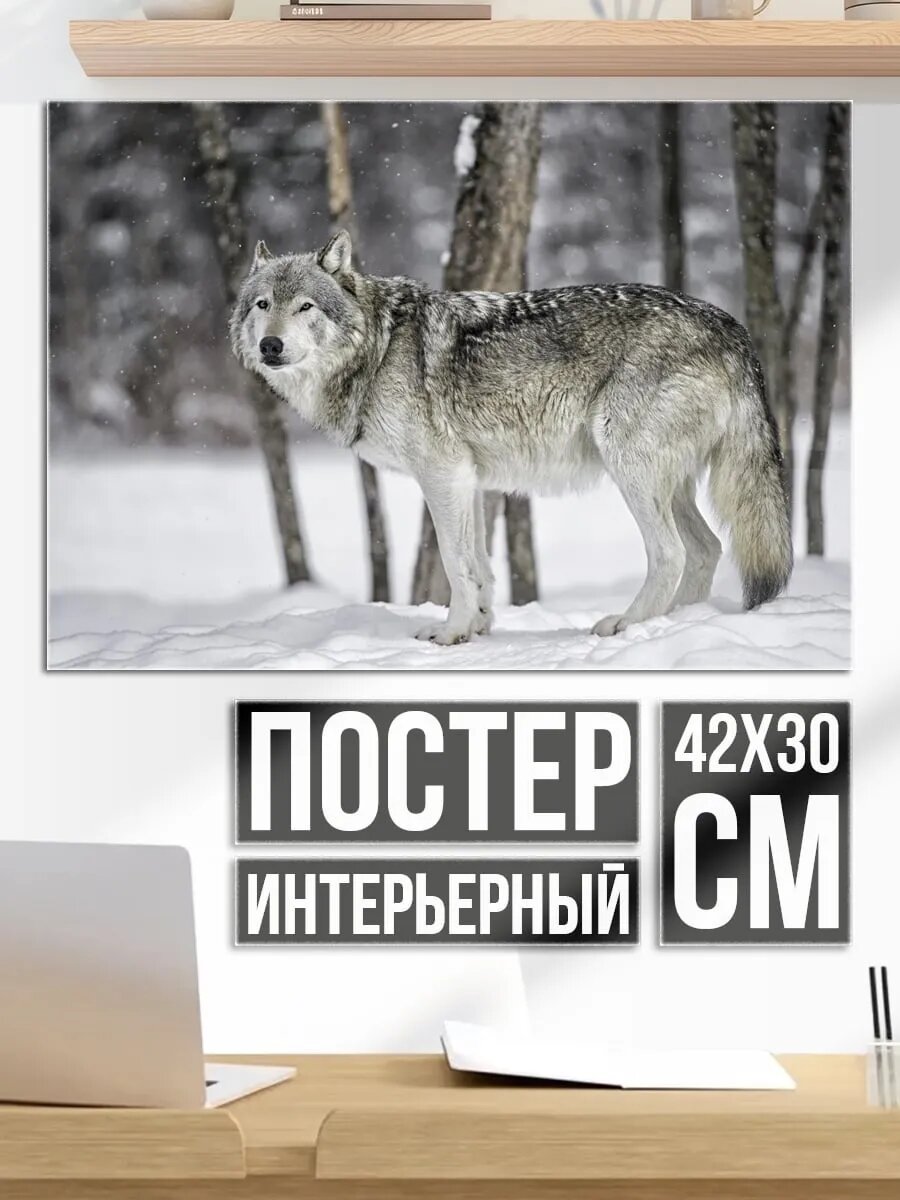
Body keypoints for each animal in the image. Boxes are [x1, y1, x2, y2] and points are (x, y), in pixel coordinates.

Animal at [231, 230, 792, 646]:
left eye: (305, 307)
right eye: (262, 304)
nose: (270, 345)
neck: (379, 347)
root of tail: (732, 327)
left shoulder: (442, 476)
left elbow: (455, 563)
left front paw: (450, 633)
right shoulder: (470, 481)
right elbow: (480, 565)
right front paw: (477, 629)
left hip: (630, 468)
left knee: (671, 553)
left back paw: (628, 626)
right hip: (668, 483)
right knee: (708, 548)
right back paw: (677, 624)